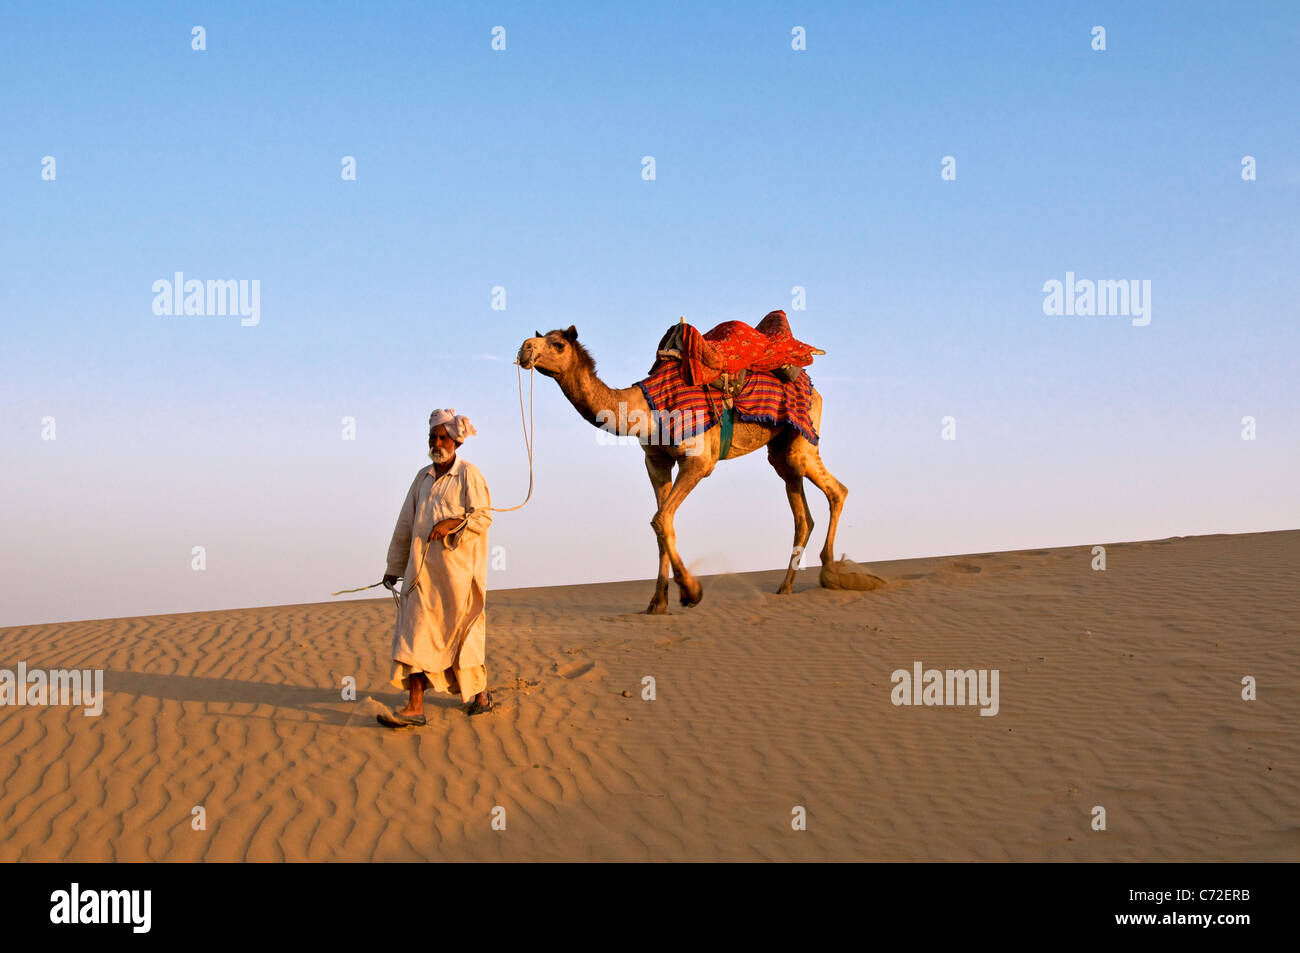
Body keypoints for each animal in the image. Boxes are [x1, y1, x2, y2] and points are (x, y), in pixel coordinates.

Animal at [516, 324, 881, 614]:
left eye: (557, 344)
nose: (524, 349)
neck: (645, 408)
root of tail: (813, 386)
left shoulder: (698, 460)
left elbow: (660, 520)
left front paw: (691, 593)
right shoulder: (656, 462)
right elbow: (663, 525)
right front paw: (658, 603)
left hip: (803, 441)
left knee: (837, 490)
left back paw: (831, 572)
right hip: (781, 451)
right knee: (802, 514)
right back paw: (786, 587)